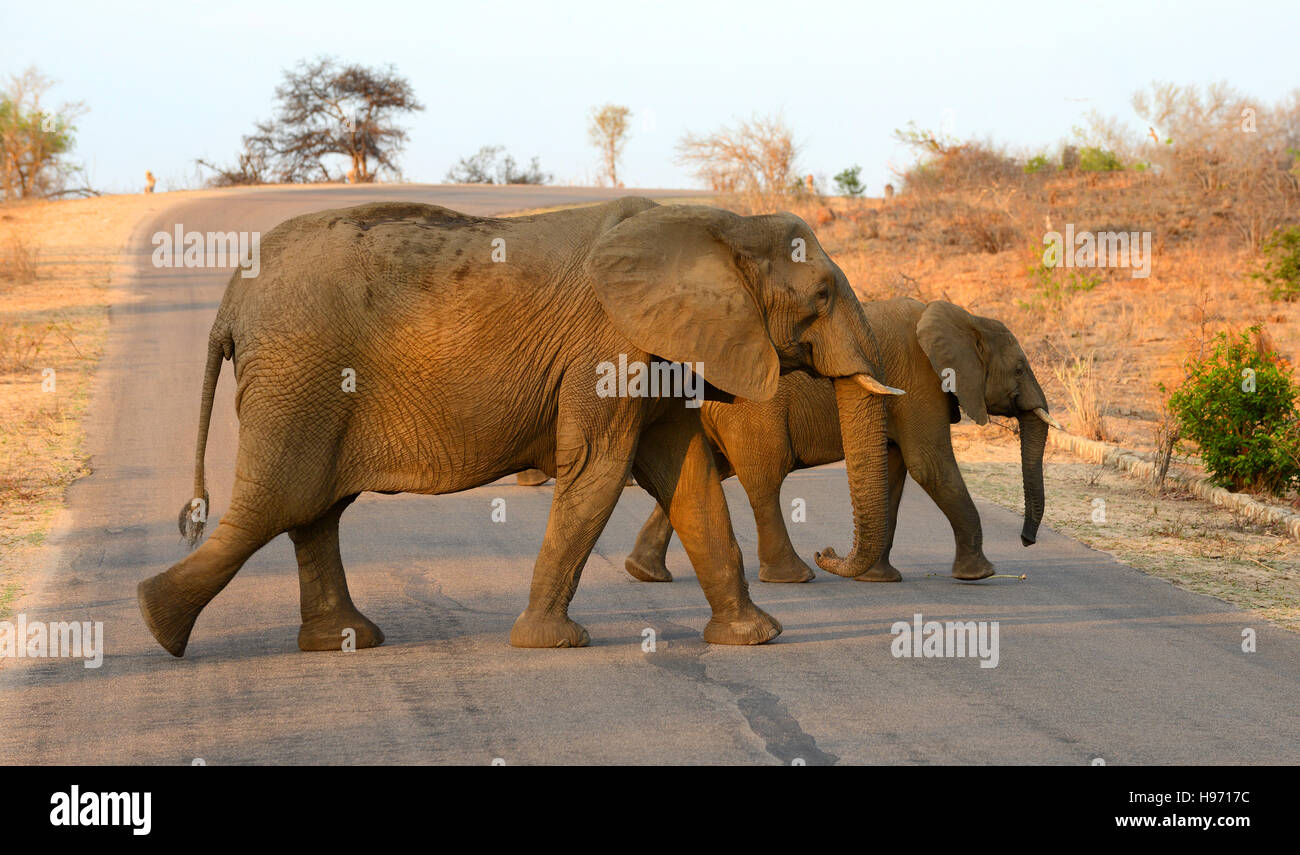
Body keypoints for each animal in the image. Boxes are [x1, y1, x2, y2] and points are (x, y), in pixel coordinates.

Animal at [137, 197, 904, 657]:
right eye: (823, 295)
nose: (833, 558)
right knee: (280, 503)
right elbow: (599, 468)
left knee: (312, 510)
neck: (716, 222)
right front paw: (551, 643)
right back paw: (158, 624)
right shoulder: (606, 346)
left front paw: (757, 637)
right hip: (300, 375)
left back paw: (346, 640)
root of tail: (230, 300)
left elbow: (685, 477)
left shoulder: (655, 351)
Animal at [623, 297, 1059, 585]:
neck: (965, 318)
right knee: (765, 479)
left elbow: (895, 470)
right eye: (1020, 369)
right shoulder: (919, 380)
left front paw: (880, 579)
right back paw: (795, 577)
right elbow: (929, 465)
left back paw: (645, 573)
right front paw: (979, 575)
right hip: (751, 412)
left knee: (704, 470)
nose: (1026, 541)